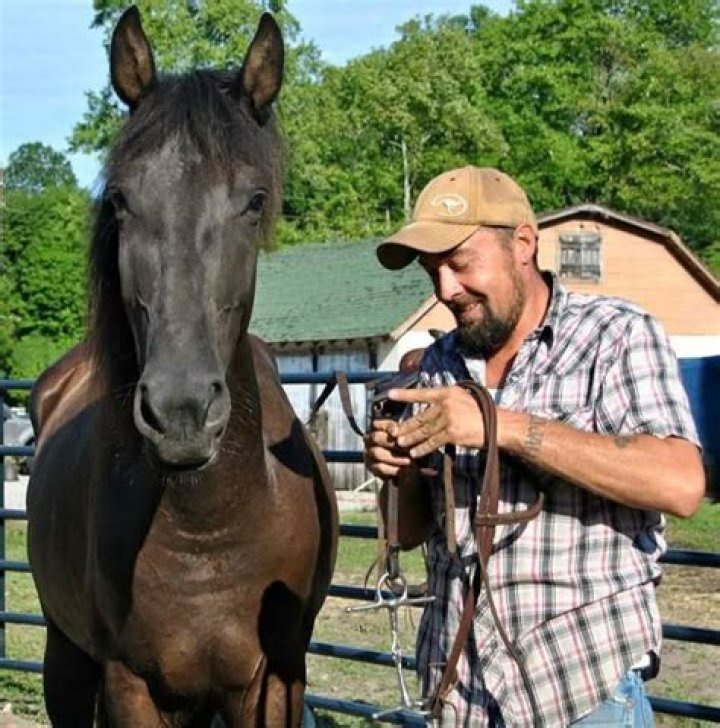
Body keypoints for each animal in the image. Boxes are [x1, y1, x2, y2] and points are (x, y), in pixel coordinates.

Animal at [27, 7, 337, 726]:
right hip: (65, 656)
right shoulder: (130, 682)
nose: (181, 411)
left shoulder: (274, 681)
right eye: (119, 199)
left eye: (254, 200)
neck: (208, 530)